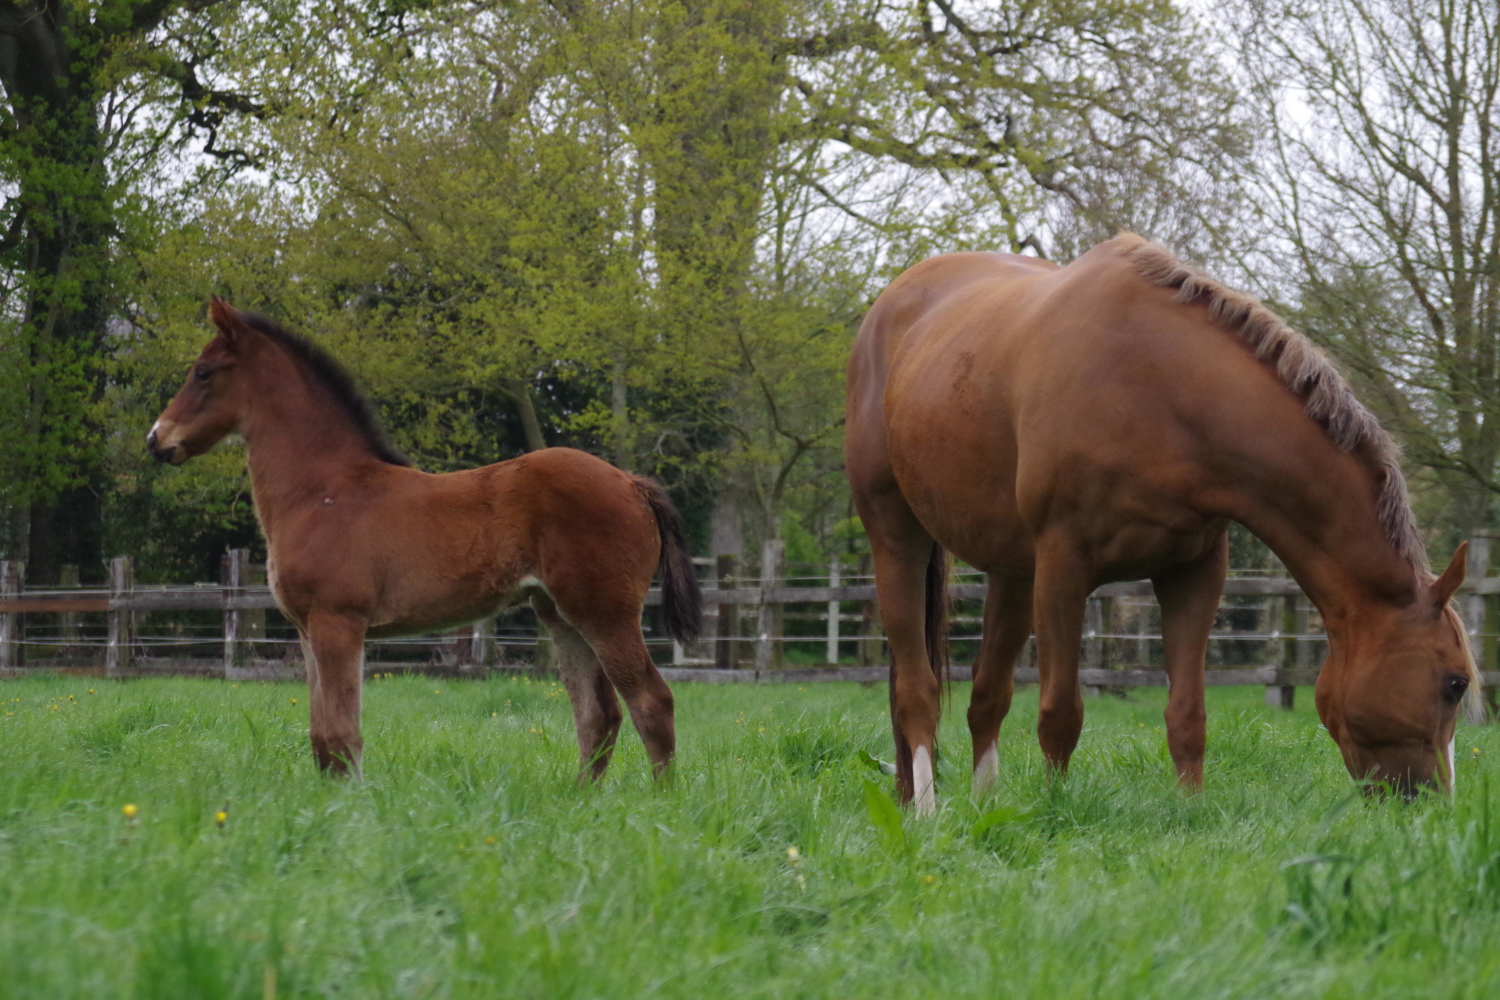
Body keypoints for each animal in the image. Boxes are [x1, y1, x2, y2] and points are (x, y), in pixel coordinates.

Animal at [148, 298, 700, 780]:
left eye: (203, 372)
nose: (157, 439)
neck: (324, 492)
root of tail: (633, 484)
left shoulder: (338, 623)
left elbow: (343, 735)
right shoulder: (308, 631)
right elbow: (322, 738)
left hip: (605, 612)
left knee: (651, 702)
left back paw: (659, 802)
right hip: (559, 614)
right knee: (597, 714)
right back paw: (580, 800)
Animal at [846, 234, 1481, 813]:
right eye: (1455, 683)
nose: (1435, 807)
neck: (1162, 388)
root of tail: (891, 305)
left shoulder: (1193, 572)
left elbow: (1187, 713)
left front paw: (1191, 811)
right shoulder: (1063, 568)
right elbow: (1060, 711)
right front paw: (1056, 808)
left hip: (1012, 572)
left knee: (987, 695)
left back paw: (982, 806)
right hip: (897, 537)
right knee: (917, 691)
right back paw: (925, 811)